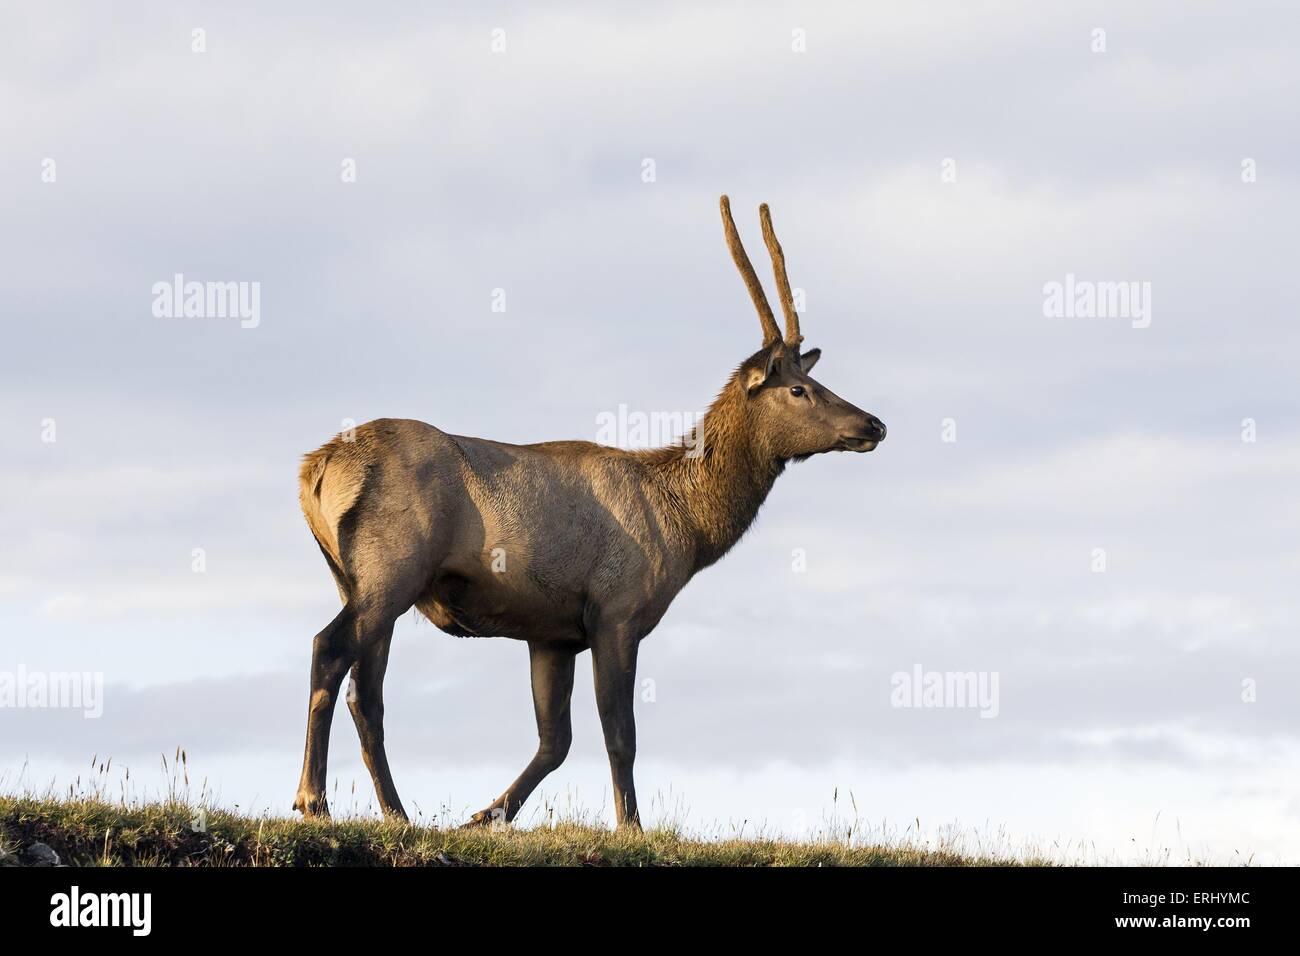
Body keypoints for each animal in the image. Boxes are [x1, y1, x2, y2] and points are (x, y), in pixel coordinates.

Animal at [293, 196, 887, 830]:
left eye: (816, 379)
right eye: (799, 389)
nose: (873, 424)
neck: (687, 529)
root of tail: (314, 469)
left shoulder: (551, 634)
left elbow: (554, 741)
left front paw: (485, 816)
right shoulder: (616, 610)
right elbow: (619, 734)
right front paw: (632, 825)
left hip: (355, 577)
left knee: (368, 694)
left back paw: (396, 812)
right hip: (392, 566)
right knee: (329, 649)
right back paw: (314, 799)